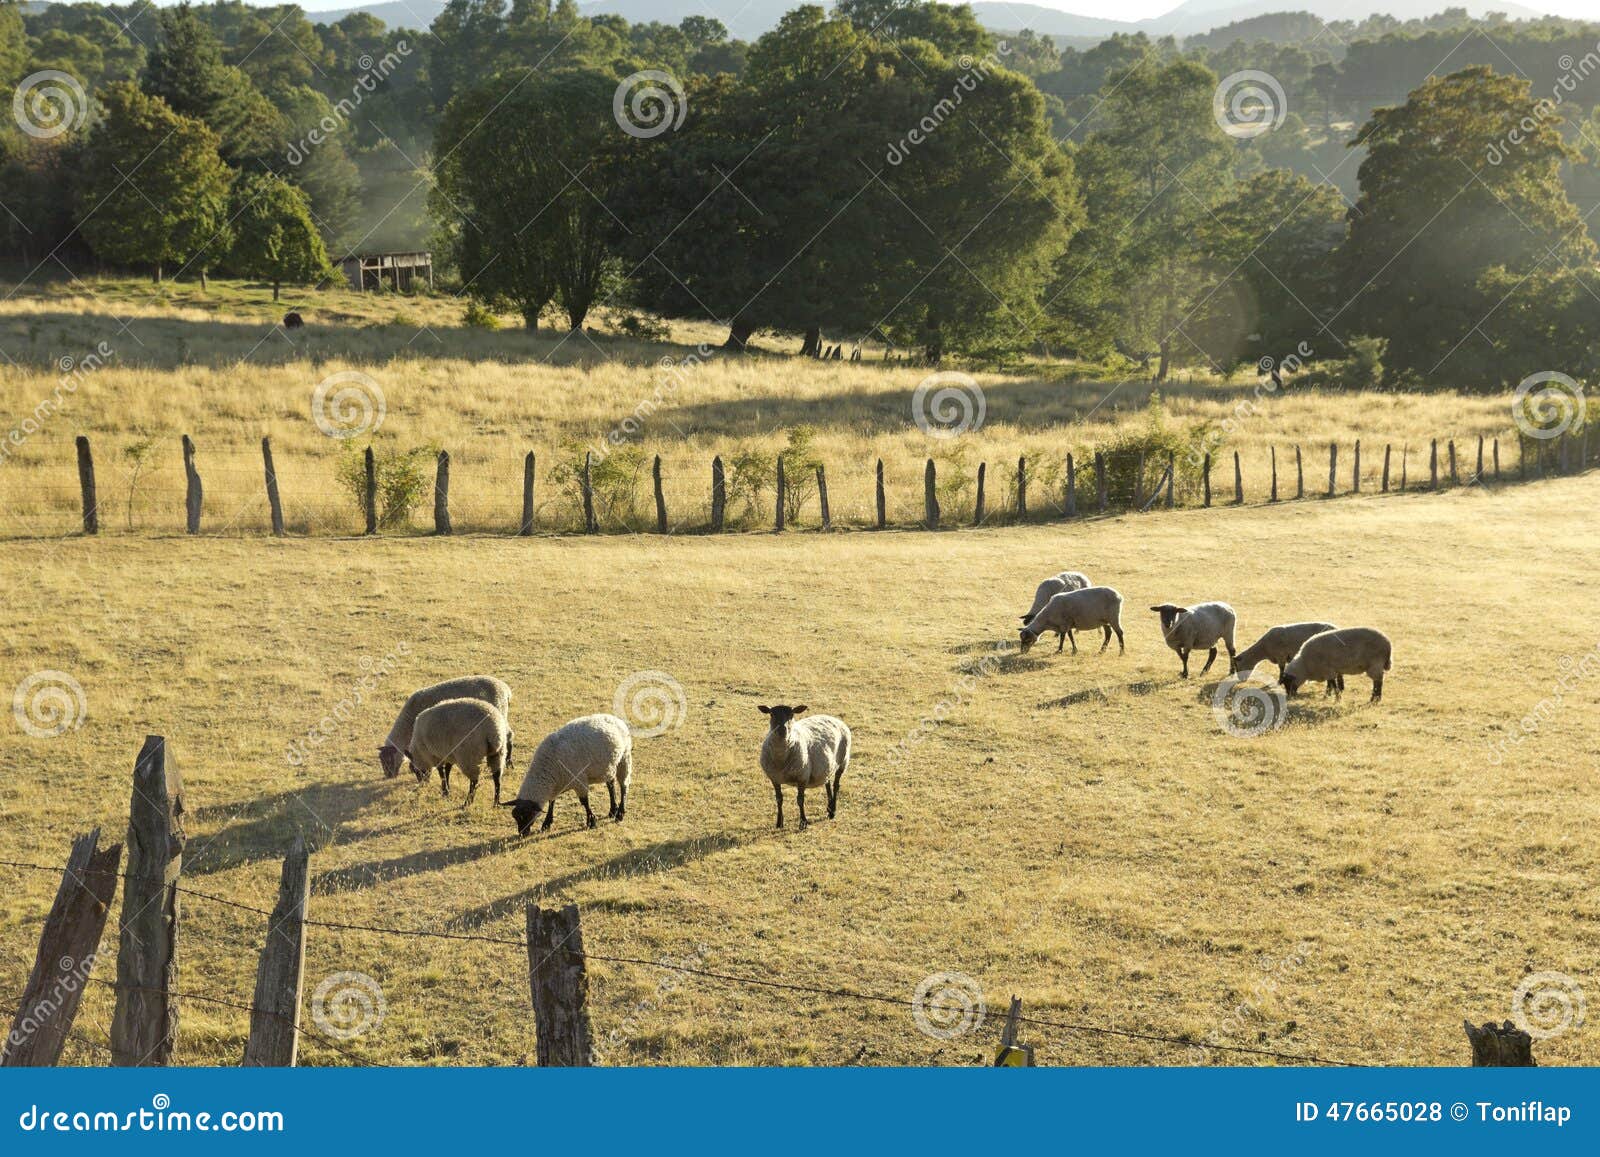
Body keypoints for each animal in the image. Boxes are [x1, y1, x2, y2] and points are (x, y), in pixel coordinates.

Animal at [379, 675, 512, 782]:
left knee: (508, 736)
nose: (389, 776)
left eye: (389, 760)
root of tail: (506, 690)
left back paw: (509, 762)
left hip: (498, 712)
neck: (409, 721)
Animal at [503, 714, 633, 836]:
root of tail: (616, 718)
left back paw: (620, 814)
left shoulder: (579, 780)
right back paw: (612, 810)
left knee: (624, 786)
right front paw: (547, 823)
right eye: (515, 816)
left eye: (526, 815)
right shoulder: (557, 784)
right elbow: (551, 802)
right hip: (608, 767)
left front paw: (591, 821)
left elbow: (584, 802)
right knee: (611, 785)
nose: (522, 834)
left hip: (624, 758)